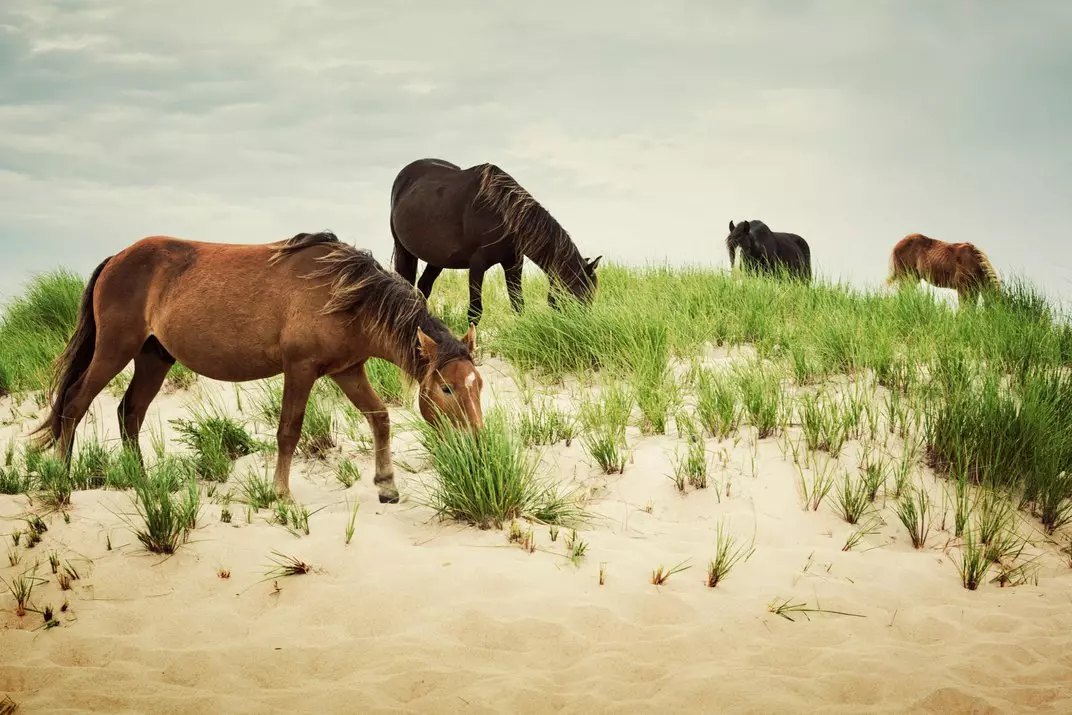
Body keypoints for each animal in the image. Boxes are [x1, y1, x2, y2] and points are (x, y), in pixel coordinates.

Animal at [31, 230, 486, 503]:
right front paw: (281, 494)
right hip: (114, 350)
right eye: (446, 388)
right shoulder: (300, 369)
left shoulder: (348, 370)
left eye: (478, 385)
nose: (478, 444)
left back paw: (142, 482)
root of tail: (117, 258)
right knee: (74, 405)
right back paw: (63, 481)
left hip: (152, 358)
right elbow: (289, 431)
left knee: (130, 413)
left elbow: (379, 417)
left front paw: (387, 485)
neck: (345, 294)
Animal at [388, 158, 604, 323]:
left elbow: (518, 305)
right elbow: (474, 312)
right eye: (575, 297)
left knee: (424, 287)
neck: (502, 213)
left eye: (591, 297)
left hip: (438, 259)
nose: (581, 328)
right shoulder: (477, 266)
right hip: (404, 251)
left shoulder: (513, 264)